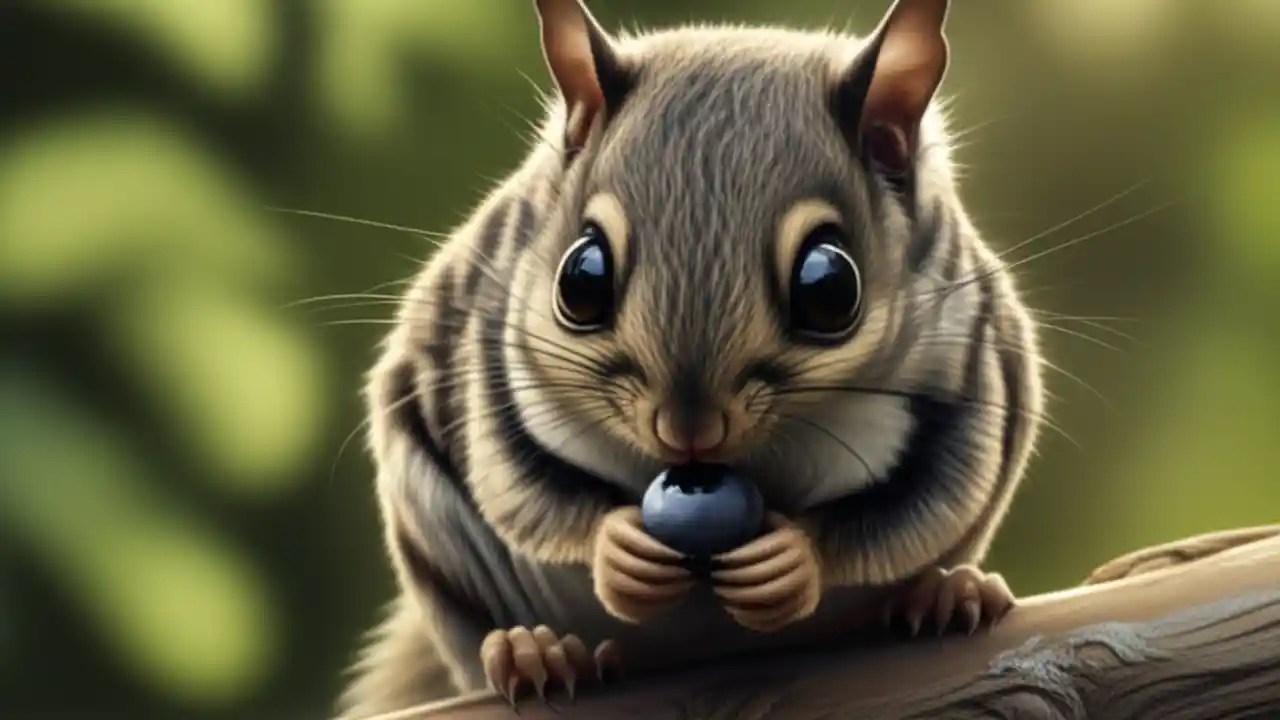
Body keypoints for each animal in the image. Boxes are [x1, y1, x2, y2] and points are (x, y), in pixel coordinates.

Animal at [335, 0, 1044, 717]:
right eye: (580, 277)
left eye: (830, 286)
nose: (688, 431)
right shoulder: (490, 357)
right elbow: (524, 483)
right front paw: (614, 547)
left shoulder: (969, 368)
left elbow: (920, 500)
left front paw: (799, 559)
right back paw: (531, 650)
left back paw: (951, 592)